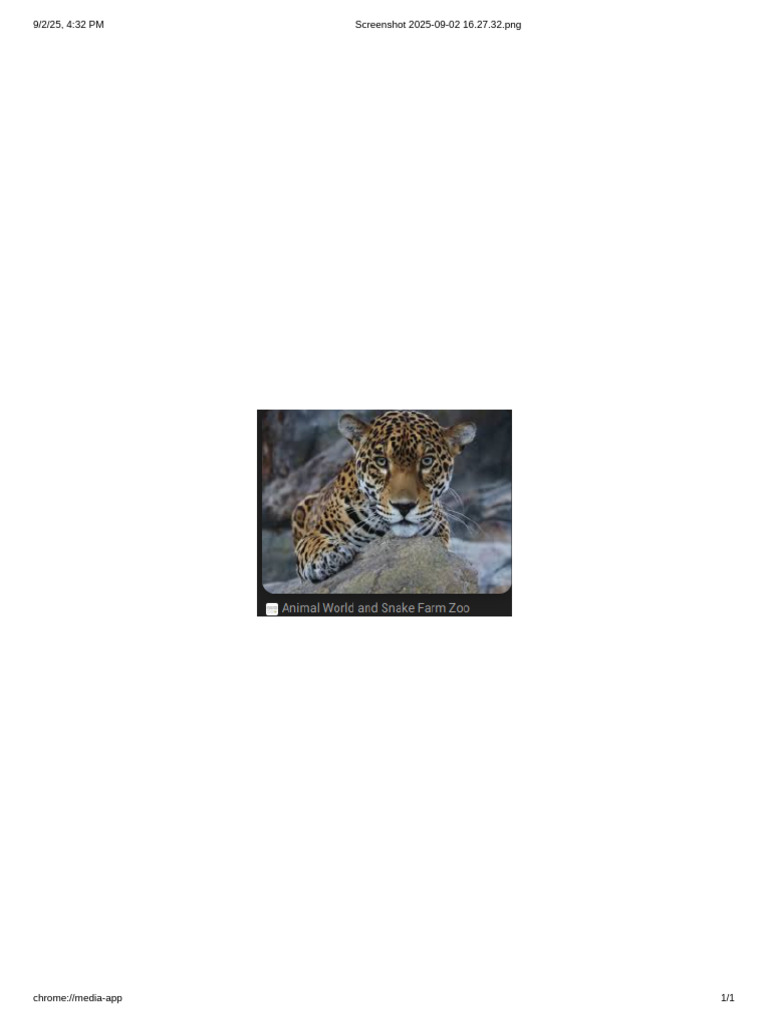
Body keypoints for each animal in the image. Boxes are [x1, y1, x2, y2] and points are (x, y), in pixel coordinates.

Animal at [292, 410, 476, 582]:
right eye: (381, 461)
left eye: (427, 461)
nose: (404, 506)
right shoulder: (317, 531)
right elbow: (310, 542)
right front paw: (330, 555)